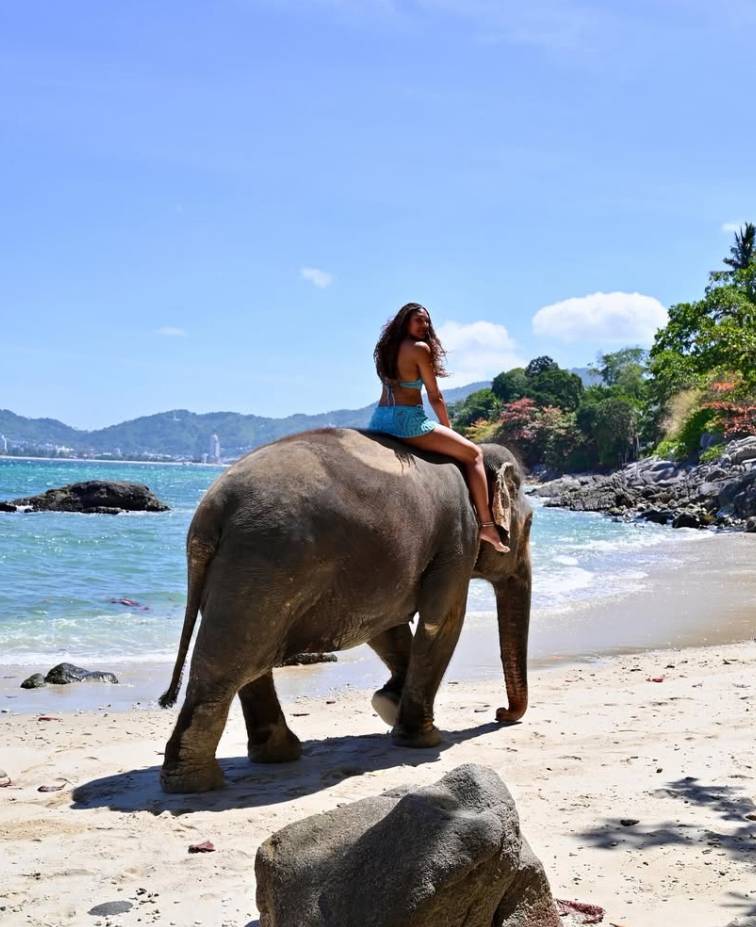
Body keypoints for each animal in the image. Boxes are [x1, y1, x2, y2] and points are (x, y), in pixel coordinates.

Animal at [159, 427, 533, 793]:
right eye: (529, 525)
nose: (501, 712)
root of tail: (211, 512)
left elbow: (386, 626)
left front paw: (388, 704)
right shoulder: (457, 541)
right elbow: (441, 622)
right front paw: (424, 738)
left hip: (243, 571)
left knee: (245, 662)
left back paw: (274, 756)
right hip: (263, 564)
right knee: (232, 664)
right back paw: (196, 783)